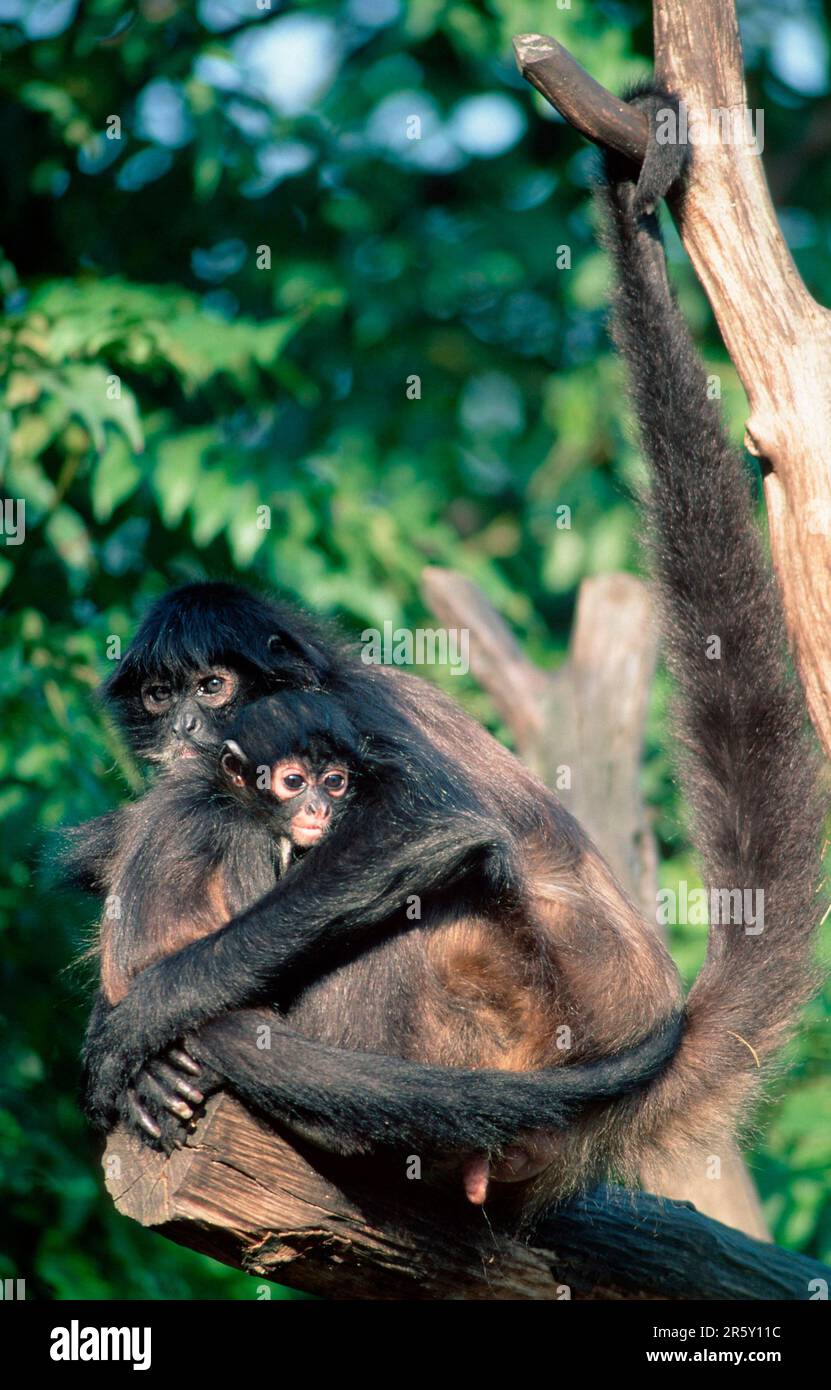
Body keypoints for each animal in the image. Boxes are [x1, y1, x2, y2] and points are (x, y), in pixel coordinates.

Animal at [76, 87, 824, 1208]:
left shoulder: (343, 717)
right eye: (160, 701)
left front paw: (141, 1023)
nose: (186, 736)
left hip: (497, 995)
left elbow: (421, 832)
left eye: (213, 684)